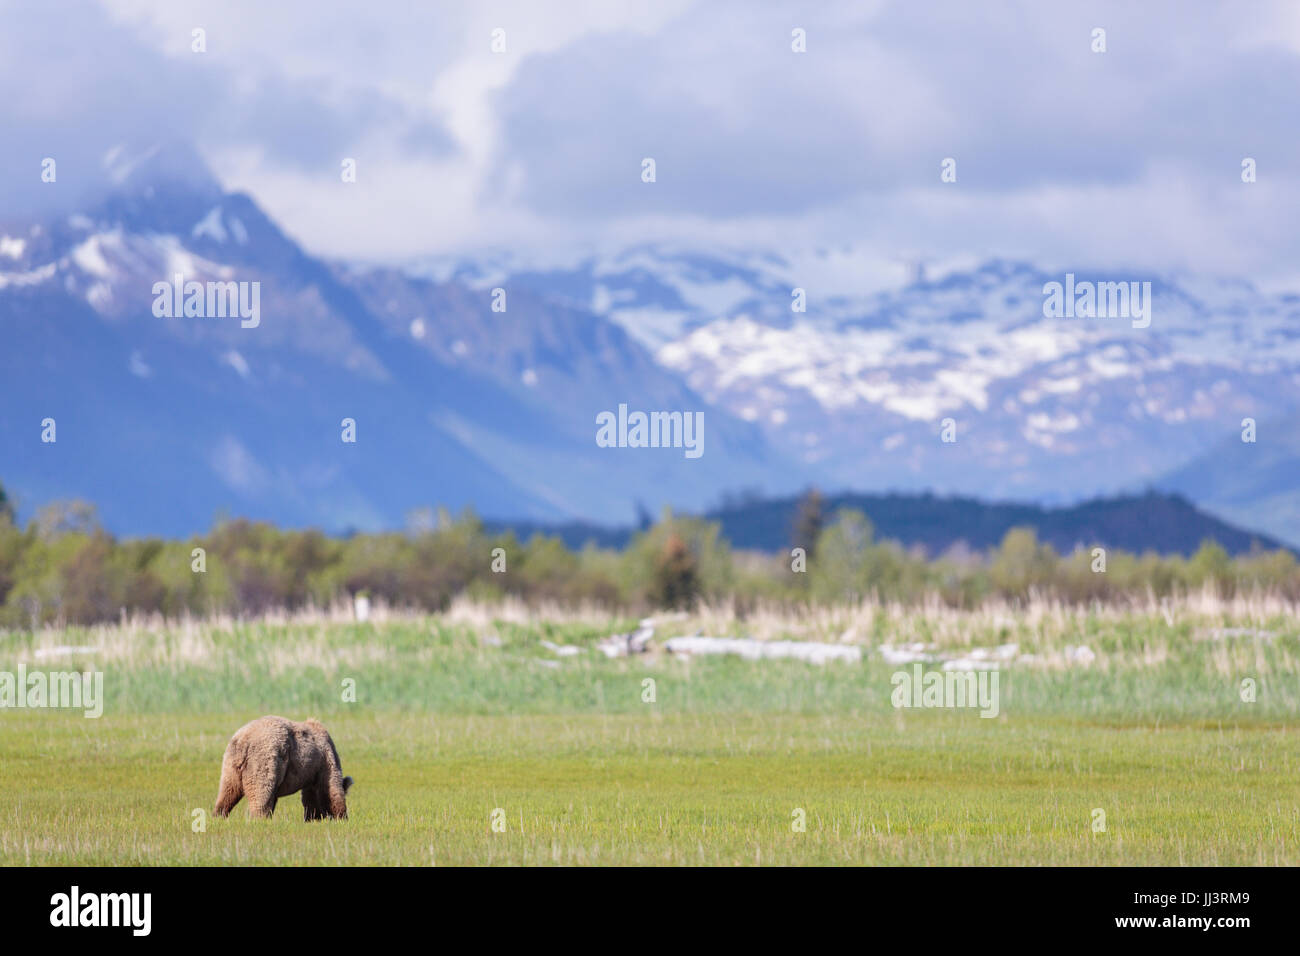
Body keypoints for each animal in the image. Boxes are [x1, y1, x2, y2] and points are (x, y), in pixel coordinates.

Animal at [213, 716, 353, 821]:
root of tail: (243, 739)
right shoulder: (325, 760)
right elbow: (331, 788)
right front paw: (341, 817)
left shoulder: (312, 771)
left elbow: (309, 795)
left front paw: (312, 817)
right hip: (263, 759)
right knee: (261, 792)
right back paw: (260, 819)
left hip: (231, 763)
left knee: (228, 790)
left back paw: (219, 814)